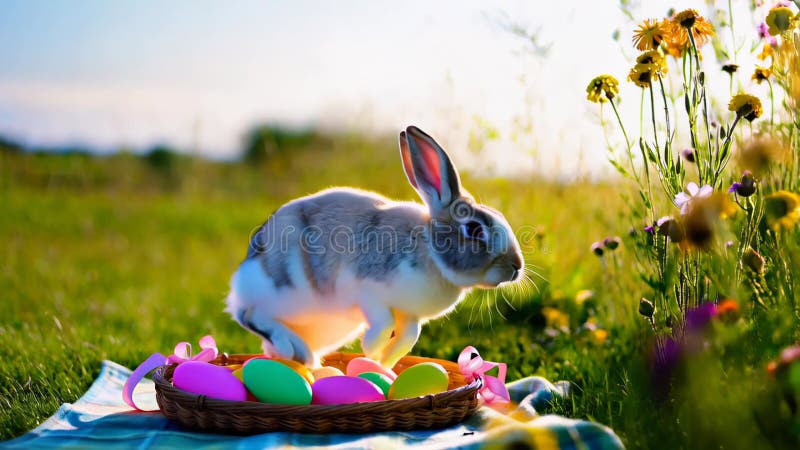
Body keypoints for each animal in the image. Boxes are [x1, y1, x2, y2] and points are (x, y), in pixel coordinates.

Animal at [225, 125, 524, 368]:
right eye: (473, 228)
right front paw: (371, 349)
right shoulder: (368, 293)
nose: (516, 267)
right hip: (281, 294)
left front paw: (384, 361)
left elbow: (408, 338)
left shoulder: (410, 315)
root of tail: (243, 272)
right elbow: (384, 323)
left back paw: (304, 359)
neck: (430, 249)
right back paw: (291, 347)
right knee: (247, 314)